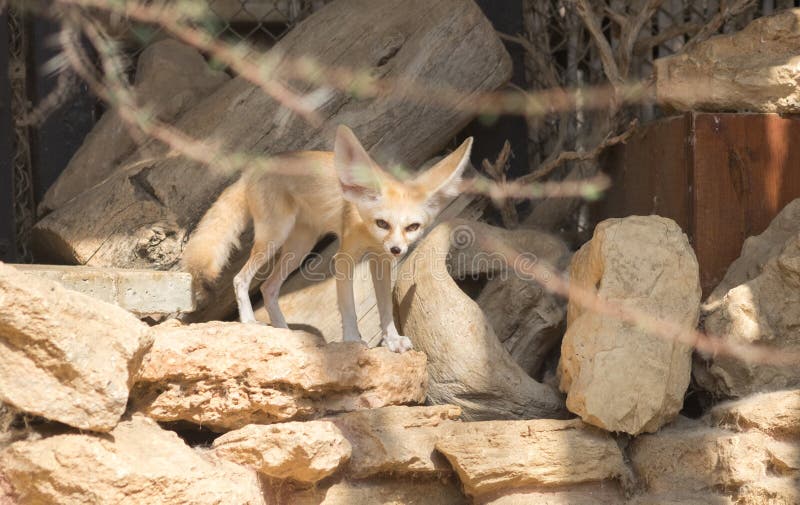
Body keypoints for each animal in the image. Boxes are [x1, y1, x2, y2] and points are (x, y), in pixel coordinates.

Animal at [182, 125, 473, 353]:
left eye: (413, 226)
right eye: (382, 223)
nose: (397, 249)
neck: (369, 234)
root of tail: (253, 169)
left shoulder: (380, 261)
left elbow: (385, 307)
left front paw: (392, 340)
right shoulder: (344, 259)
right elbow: (348, 306)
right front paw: (353, 340)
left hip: (298, 248)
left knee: (267, 288)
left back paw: (285, 332)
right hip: (274, 237)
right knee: (241, 279)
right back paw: (249, 322)